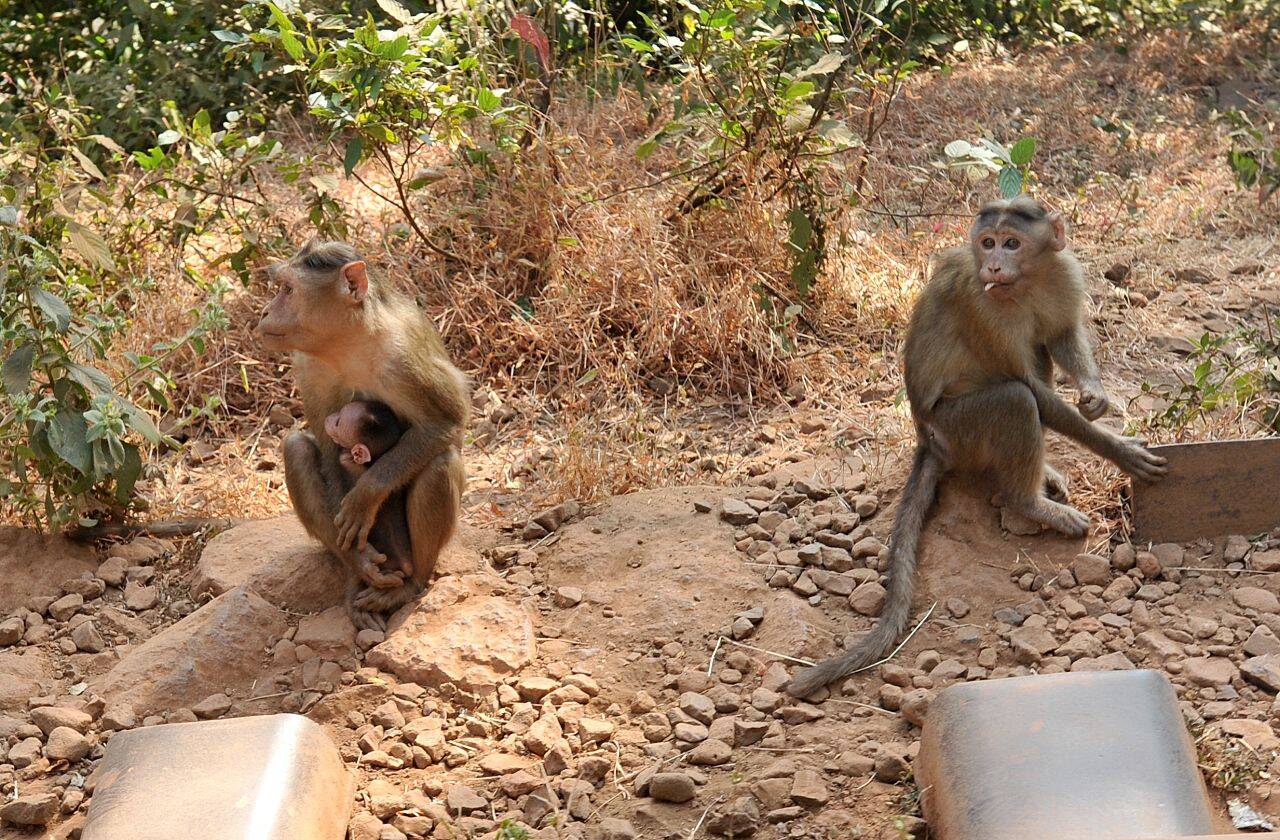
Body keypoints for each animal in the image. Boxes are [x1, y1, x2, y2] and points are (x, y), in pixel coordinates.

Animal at [785, 195, 1168, 698]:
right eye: (987, 242)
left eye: (1011, 243)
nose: (994, 265)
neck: (1028, 281)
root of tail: (928, 440)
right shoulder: (981, 304)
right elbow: (1031, 390)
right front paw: (1121, 451)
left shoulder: (1065, 271)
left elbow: (1061, 335)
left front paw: (1094, 394)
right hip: (960, 432)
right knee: (1015, 400)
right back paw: (1029, 502)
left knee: (1039, 352)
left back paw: (1041, 477)